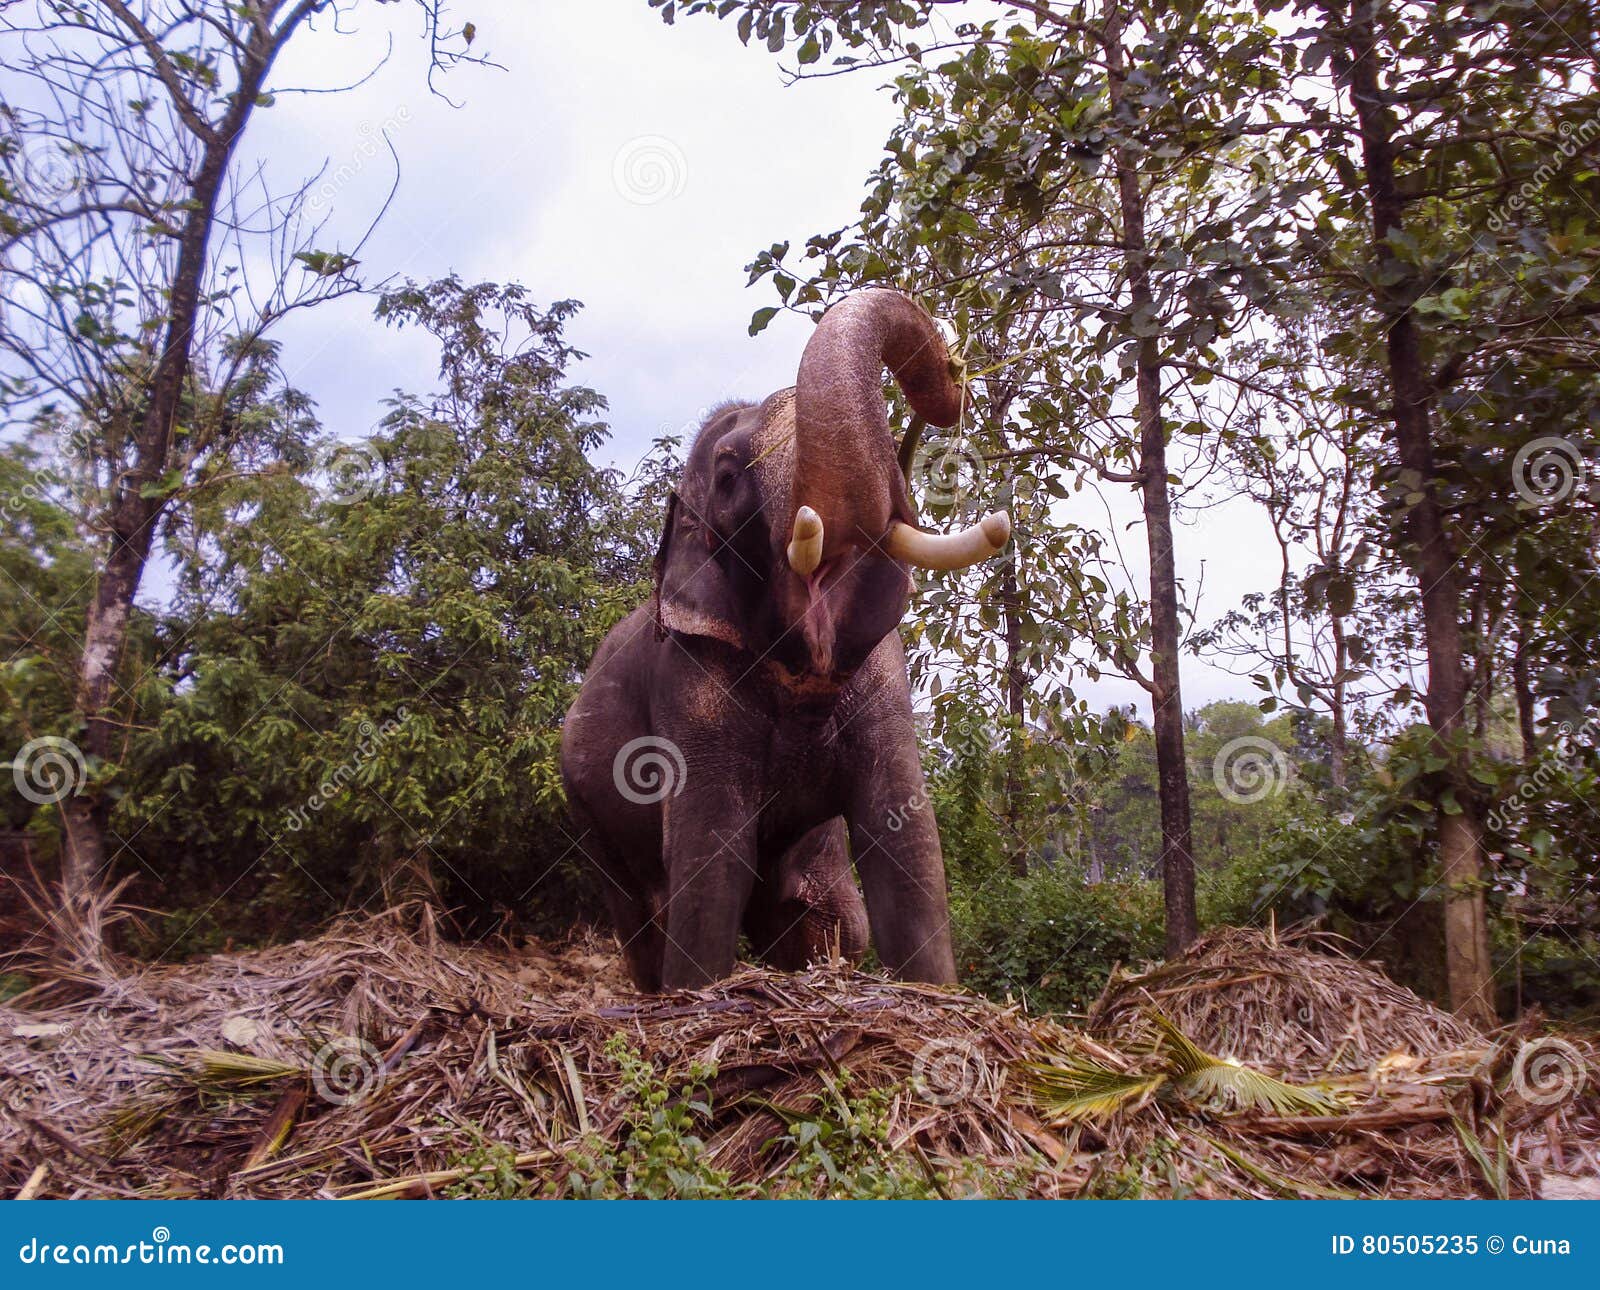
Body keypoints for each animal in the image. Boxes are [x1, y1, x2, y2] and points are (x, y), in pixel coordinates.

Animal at [560, 289, 1012, 991]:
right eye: (726, 477)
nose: (950, 379)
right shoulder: (688, 680)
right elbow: (711, 853)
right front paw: (699, 996)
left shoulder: (884, 681)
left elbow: (904, 836)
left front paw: (934, 993)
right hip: (583, 808)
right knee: (640, 908)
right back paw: (654, 992)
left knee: (822, 911)